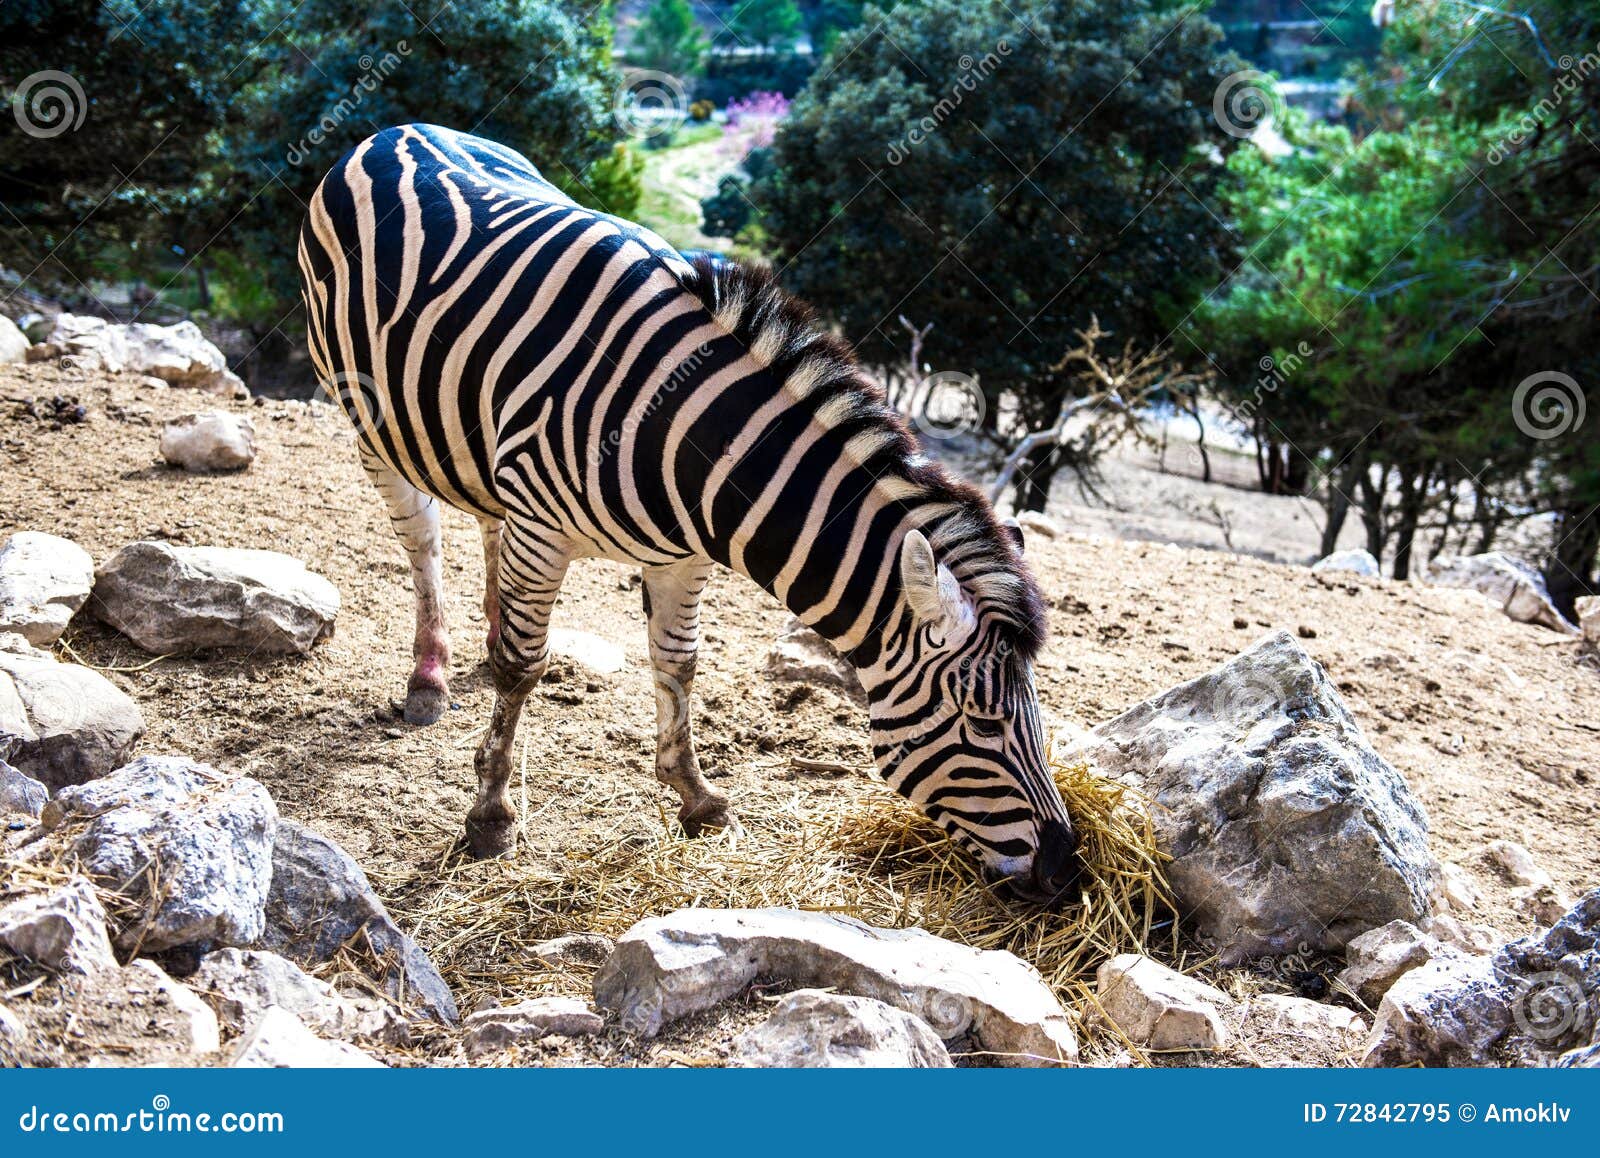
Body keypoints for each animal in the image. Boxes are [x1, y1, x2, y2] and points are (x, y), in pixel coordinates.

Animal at [299, 123, 1081, 903]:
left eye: (1037, 716)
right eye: (981, 723)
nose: (1066, 871)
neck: (689, 439)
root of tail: (399, 130)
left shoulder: (680, 557)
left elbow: (679, 664)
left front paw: (697, 800)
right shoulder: (545, 532)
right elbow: (523, 670)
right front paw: (491, 816)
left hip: (477, 442)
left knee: (486, 524)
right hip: (370, 419)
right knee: (423, 540)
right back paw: (429, 675)